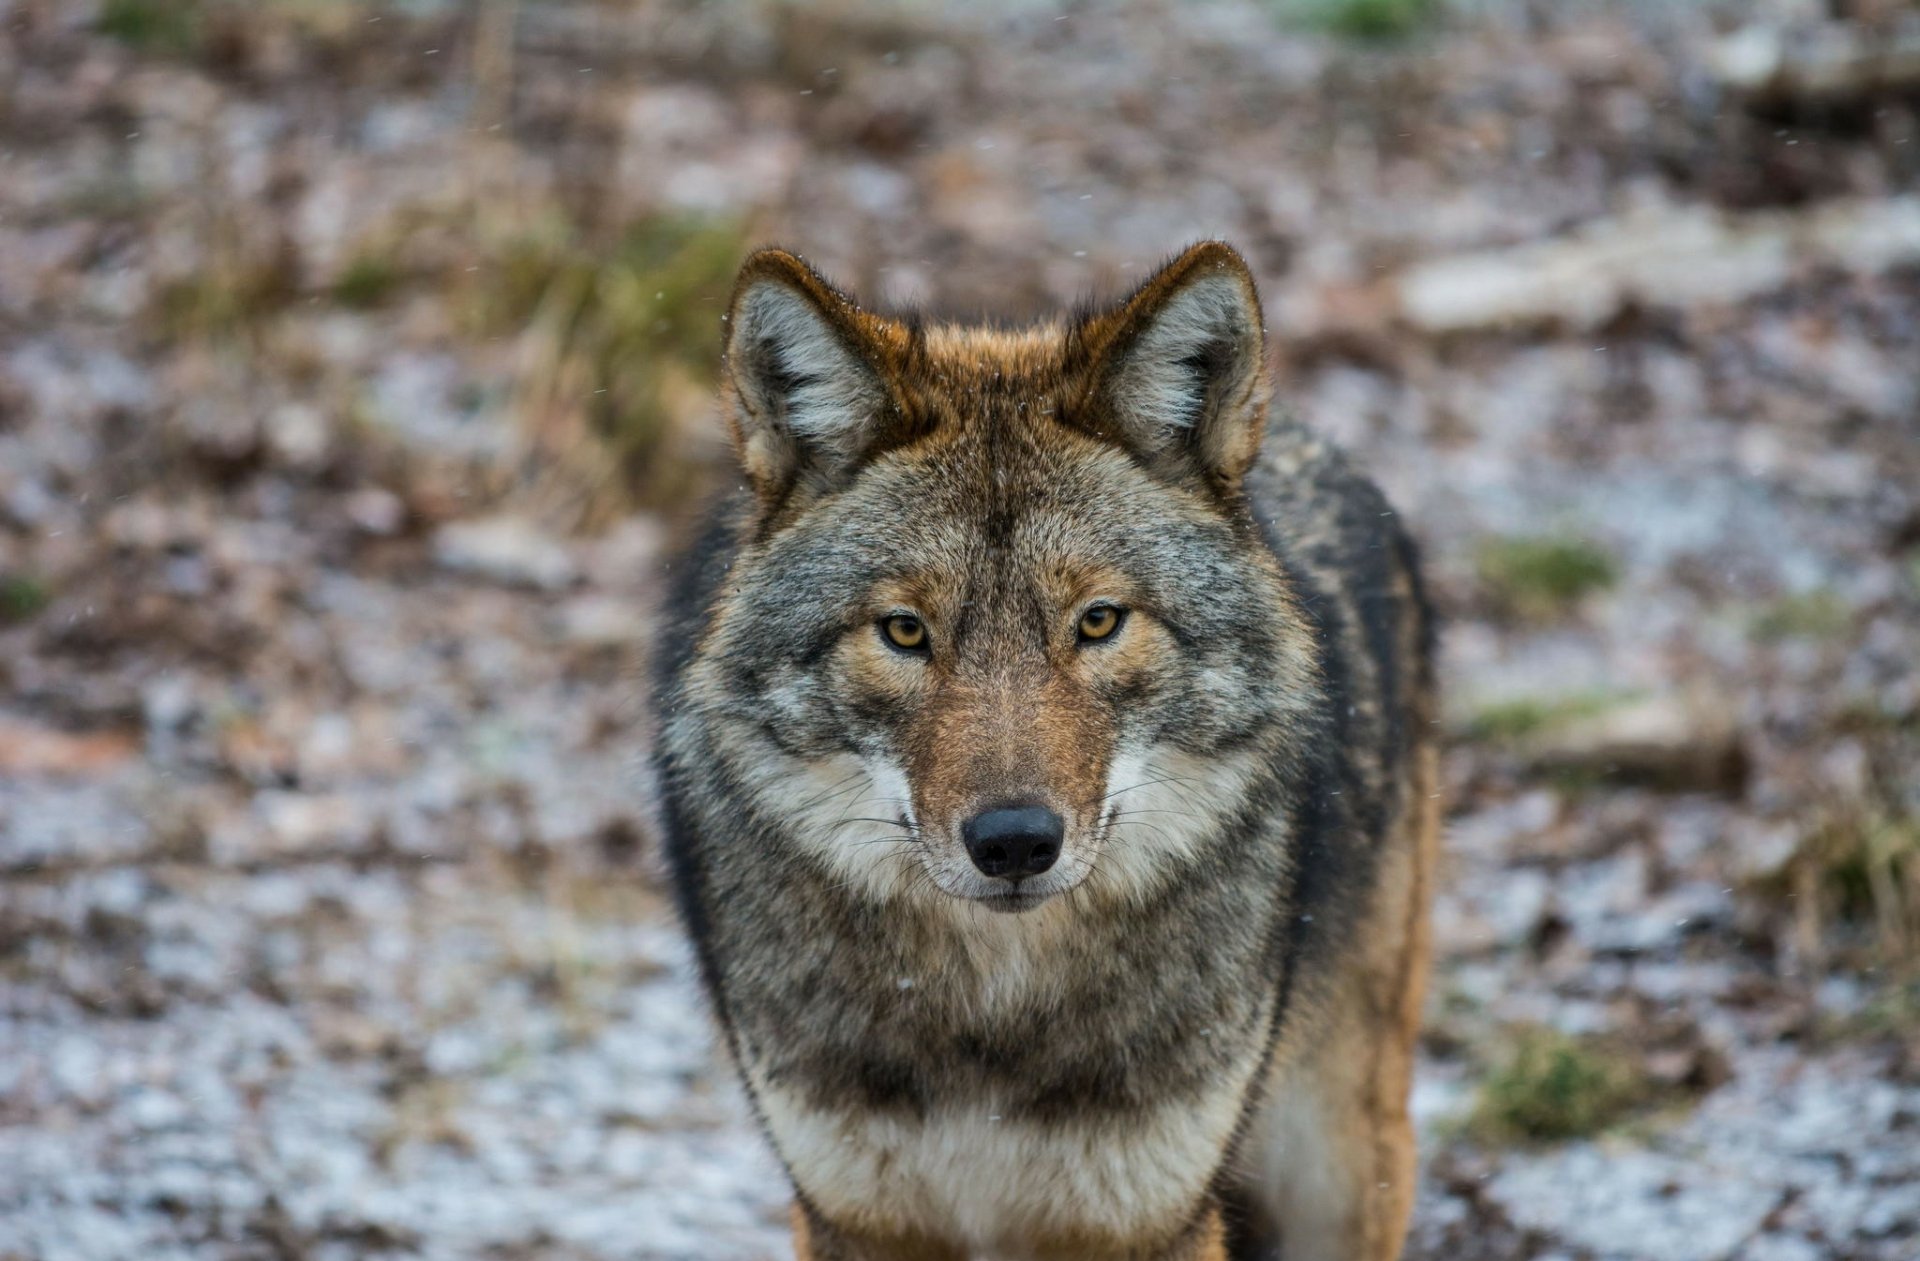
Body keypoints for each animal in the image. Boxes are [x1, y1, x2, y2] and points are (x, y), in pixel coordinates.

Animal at [654, 241, 1438, 1261]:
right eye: (905, 631)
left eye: (1098, 621)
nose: (1016, 841)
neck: (996, 1013)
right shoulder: (855, 1217)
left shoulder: (1145, 1220)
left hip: (1337, 1167)